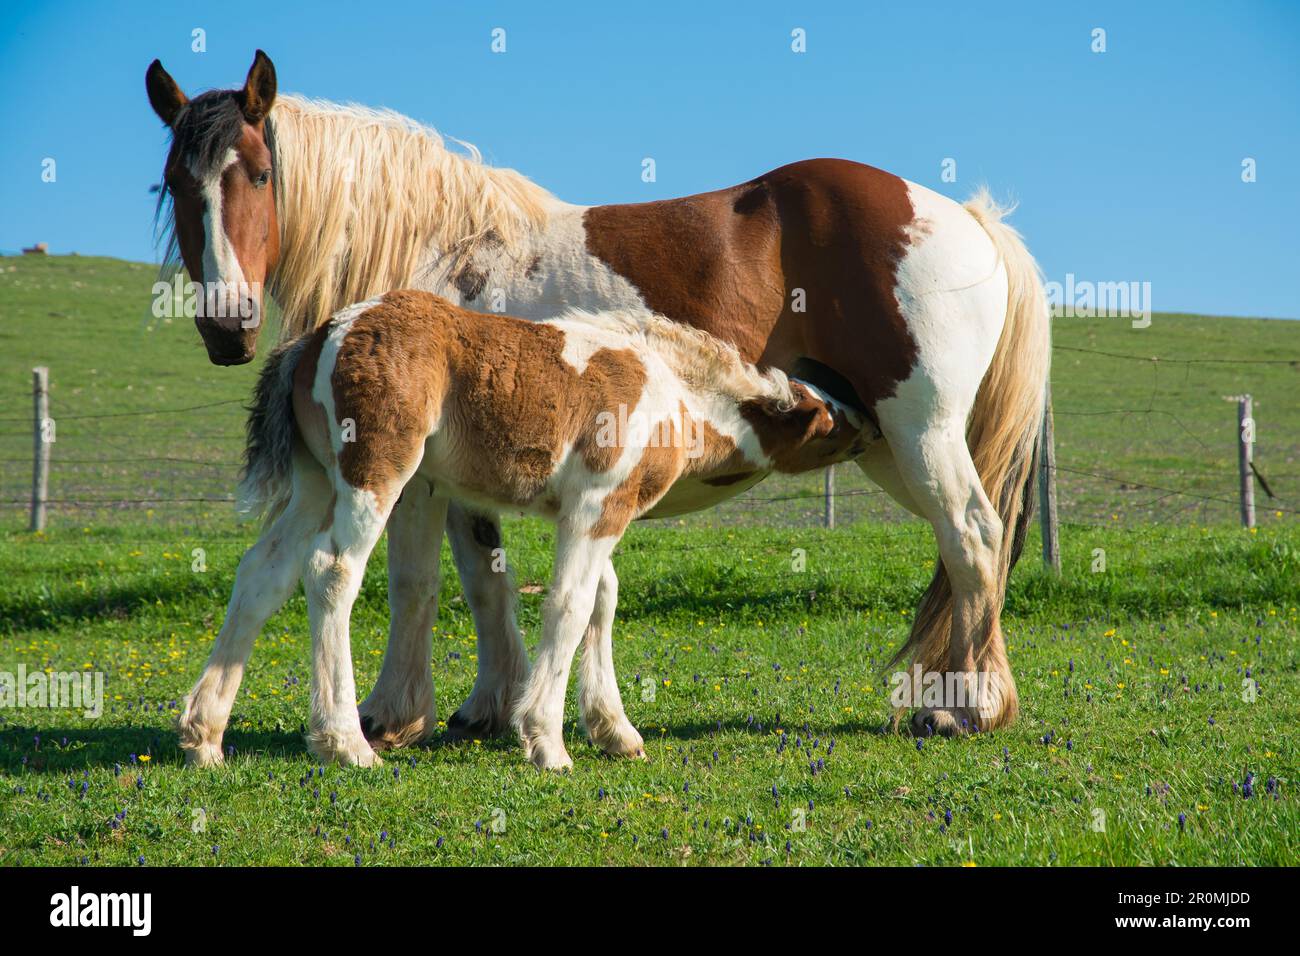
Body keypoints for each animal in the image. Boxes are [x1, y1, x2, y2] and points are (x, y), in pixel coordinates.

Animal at [179, 290, 871, 768]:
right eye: (831, 417)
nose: (873, 425)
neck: (671, 393)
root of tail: (319, 335)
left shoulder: (592, 512)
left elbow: (602, 600)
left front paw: (615, 731)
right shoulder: (597, 507)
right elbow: (568, 604)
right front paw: (546, 742)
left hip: (316, 481)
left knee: (263, 573)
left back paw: (204, 736)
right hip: (376, 474)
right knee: (331, 571)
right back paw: (345, 742)